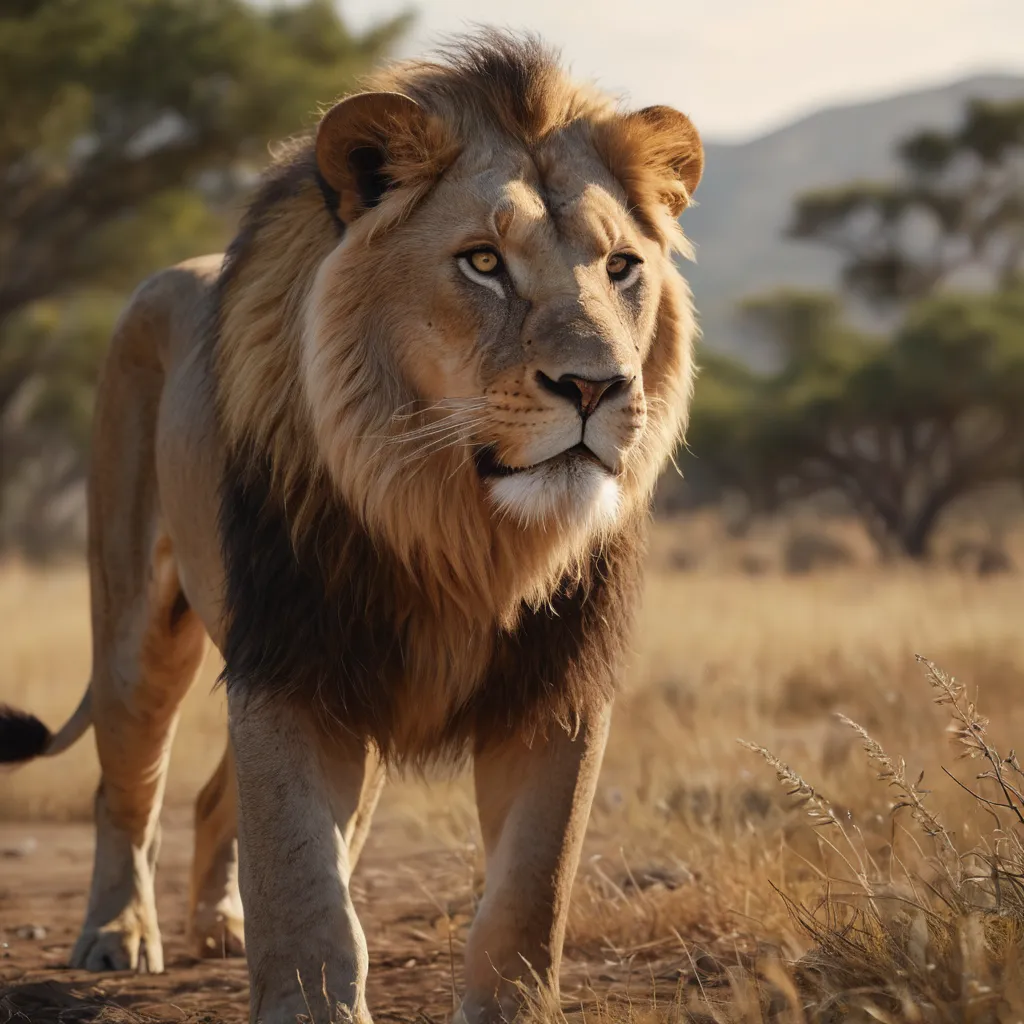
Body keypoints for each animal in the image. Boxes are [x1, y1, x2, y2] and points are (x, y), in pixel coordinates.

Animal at [0, 32, 702, 1024]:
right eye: (482, 262)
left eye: (620, 268)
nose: (595, 386)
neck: (460, 527)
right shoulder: (296, 664)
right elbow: (305, 883)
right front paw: (310, 1002)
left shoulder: (556, 683)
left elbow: (533, 890)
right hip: (141, 627)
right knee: (125, 787)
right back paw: (117, 933)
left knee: (214, 800)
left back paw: (221, 925)